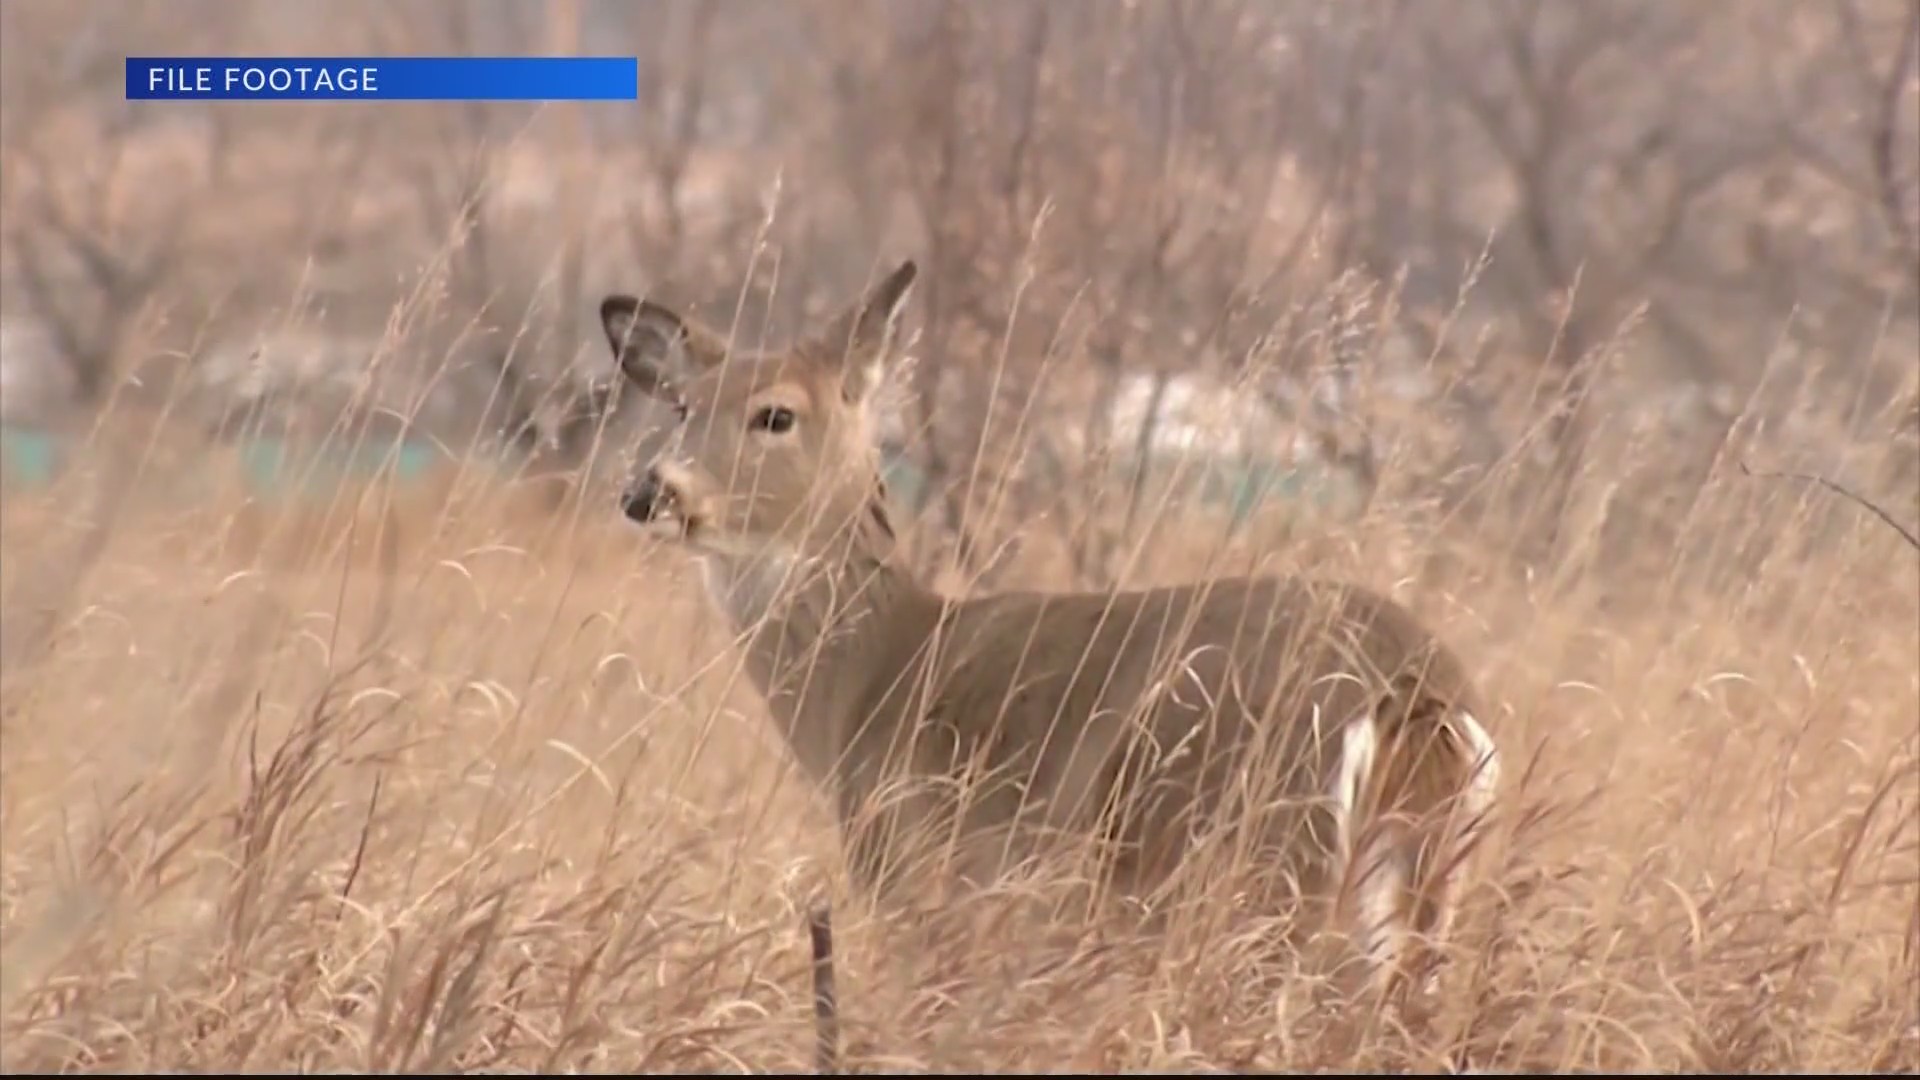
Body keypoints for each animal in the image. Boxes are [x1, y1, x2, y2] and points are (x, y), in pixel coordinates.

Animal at [593, 259, 1503, 1000]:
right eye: (682, 406)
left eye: (776, 415)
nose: (649, 492)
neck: (872, 679)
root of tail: (1414, 688)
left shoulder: (918, 876)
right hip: (1425, 883)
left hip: (1261, 860)